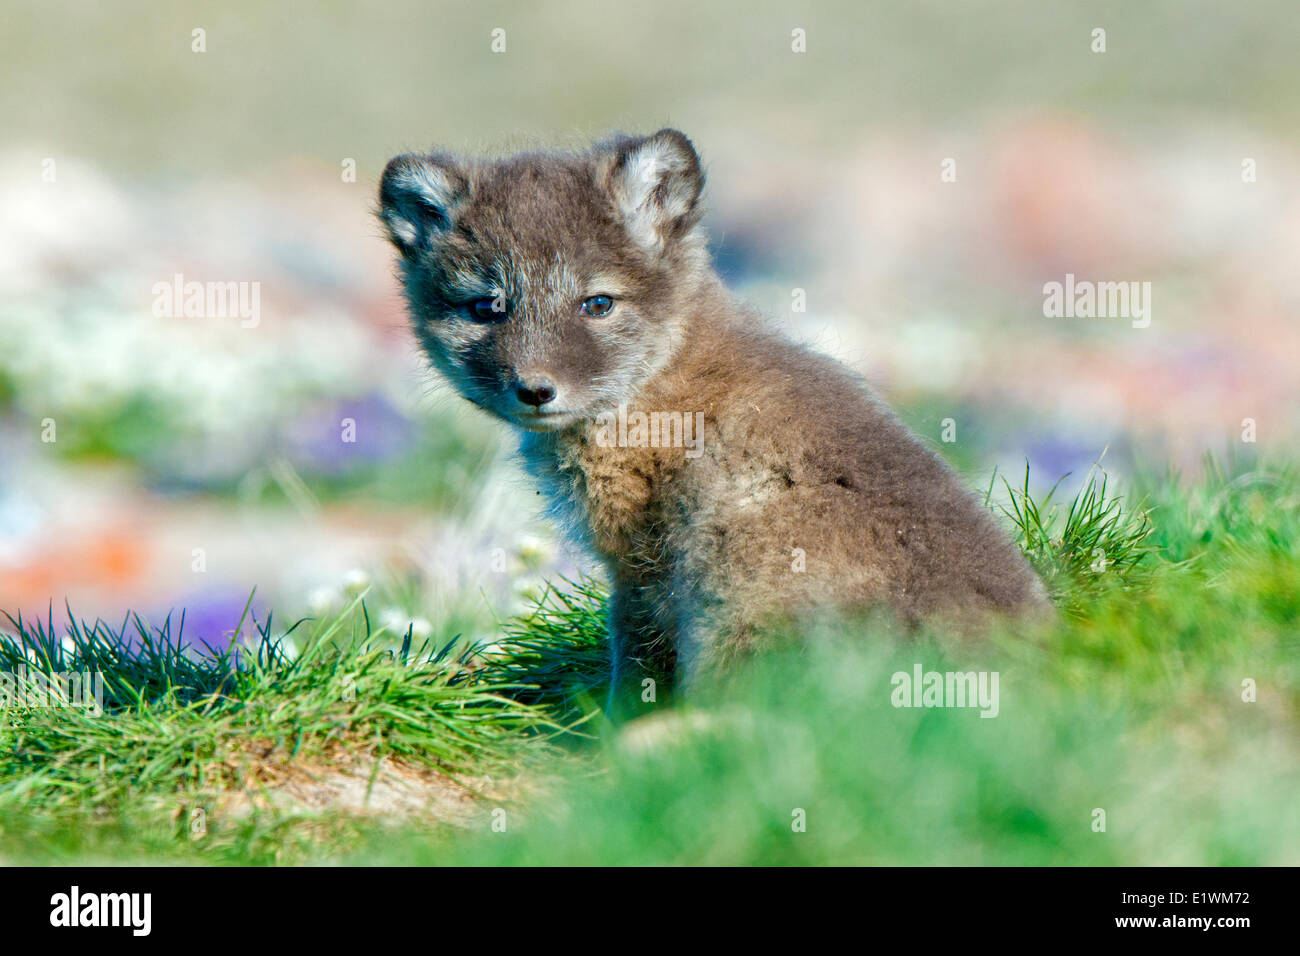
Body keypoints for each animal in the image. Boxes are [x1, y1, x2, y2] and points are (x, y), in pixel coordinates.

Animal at [378, 129, 1049, 715]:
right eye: (484, 307)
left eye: (598, 303)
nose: (536, 390)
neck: (659, 382)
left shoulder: (641, 561)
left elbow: (636, 653)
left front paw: (615, 725)